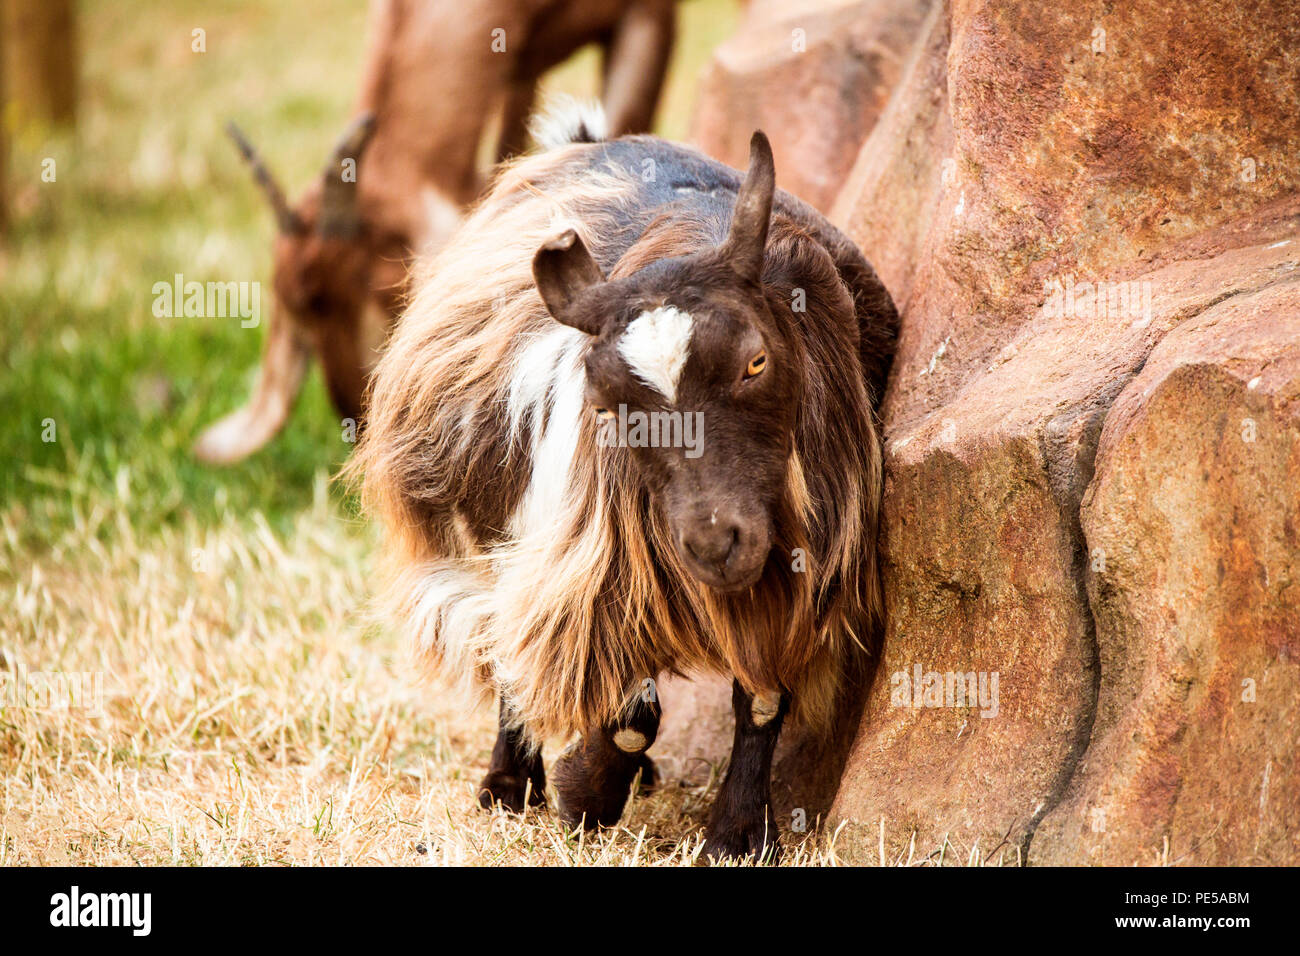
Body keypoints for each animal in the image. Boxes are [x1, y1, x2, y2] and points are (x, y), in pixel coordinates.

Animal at [352, 110, 898, 862]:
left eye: (755, 361)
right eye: (608, 402)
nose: (713, 543)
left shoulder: (803, 563)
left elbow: (762, 695)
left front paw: (736, 835)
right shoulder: (592, 562)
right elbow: (624, 698)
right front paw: (585, 791)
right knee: (506, 639)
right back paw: (508, 786)